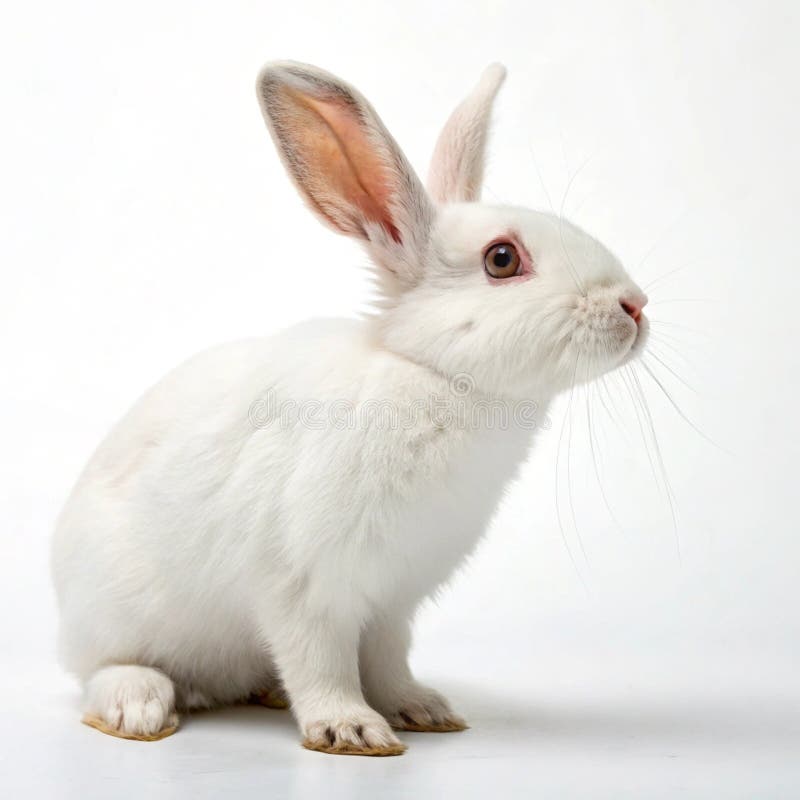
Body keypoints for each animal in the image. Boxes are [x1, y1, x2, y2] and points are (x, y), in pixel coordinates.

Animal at [51, 60, 649, 756]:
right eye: (502, 259)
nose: (635, 305)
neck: (431, 376)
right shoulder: (304, 586)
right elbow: (320, 661)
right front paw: (351, 730)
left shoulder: (394, 599)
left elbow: (388, 661)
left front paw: (422, 710)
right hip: (117, 616)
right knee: (104, 670)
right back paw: (139, 708)